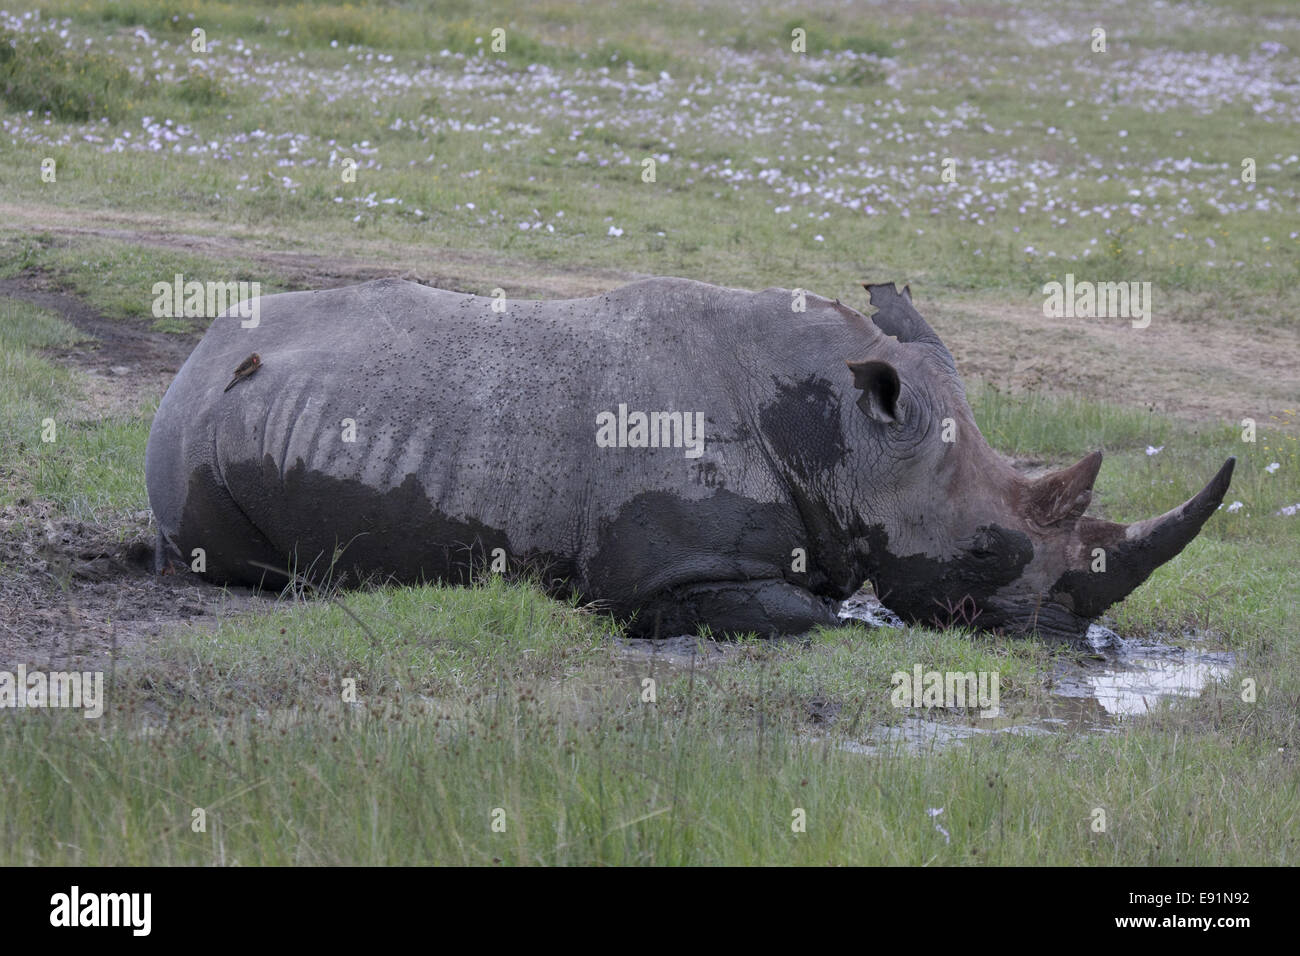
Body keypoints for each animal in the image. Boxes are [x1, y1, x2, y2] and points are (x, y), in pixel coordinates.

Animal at [145, 277, 1233, 641]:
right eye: (981, 555)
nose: (1061, 632)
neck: (837, 433)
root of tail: (192, 357)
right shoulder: (672, 568)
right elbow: (805, 615)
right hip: (195, 443)